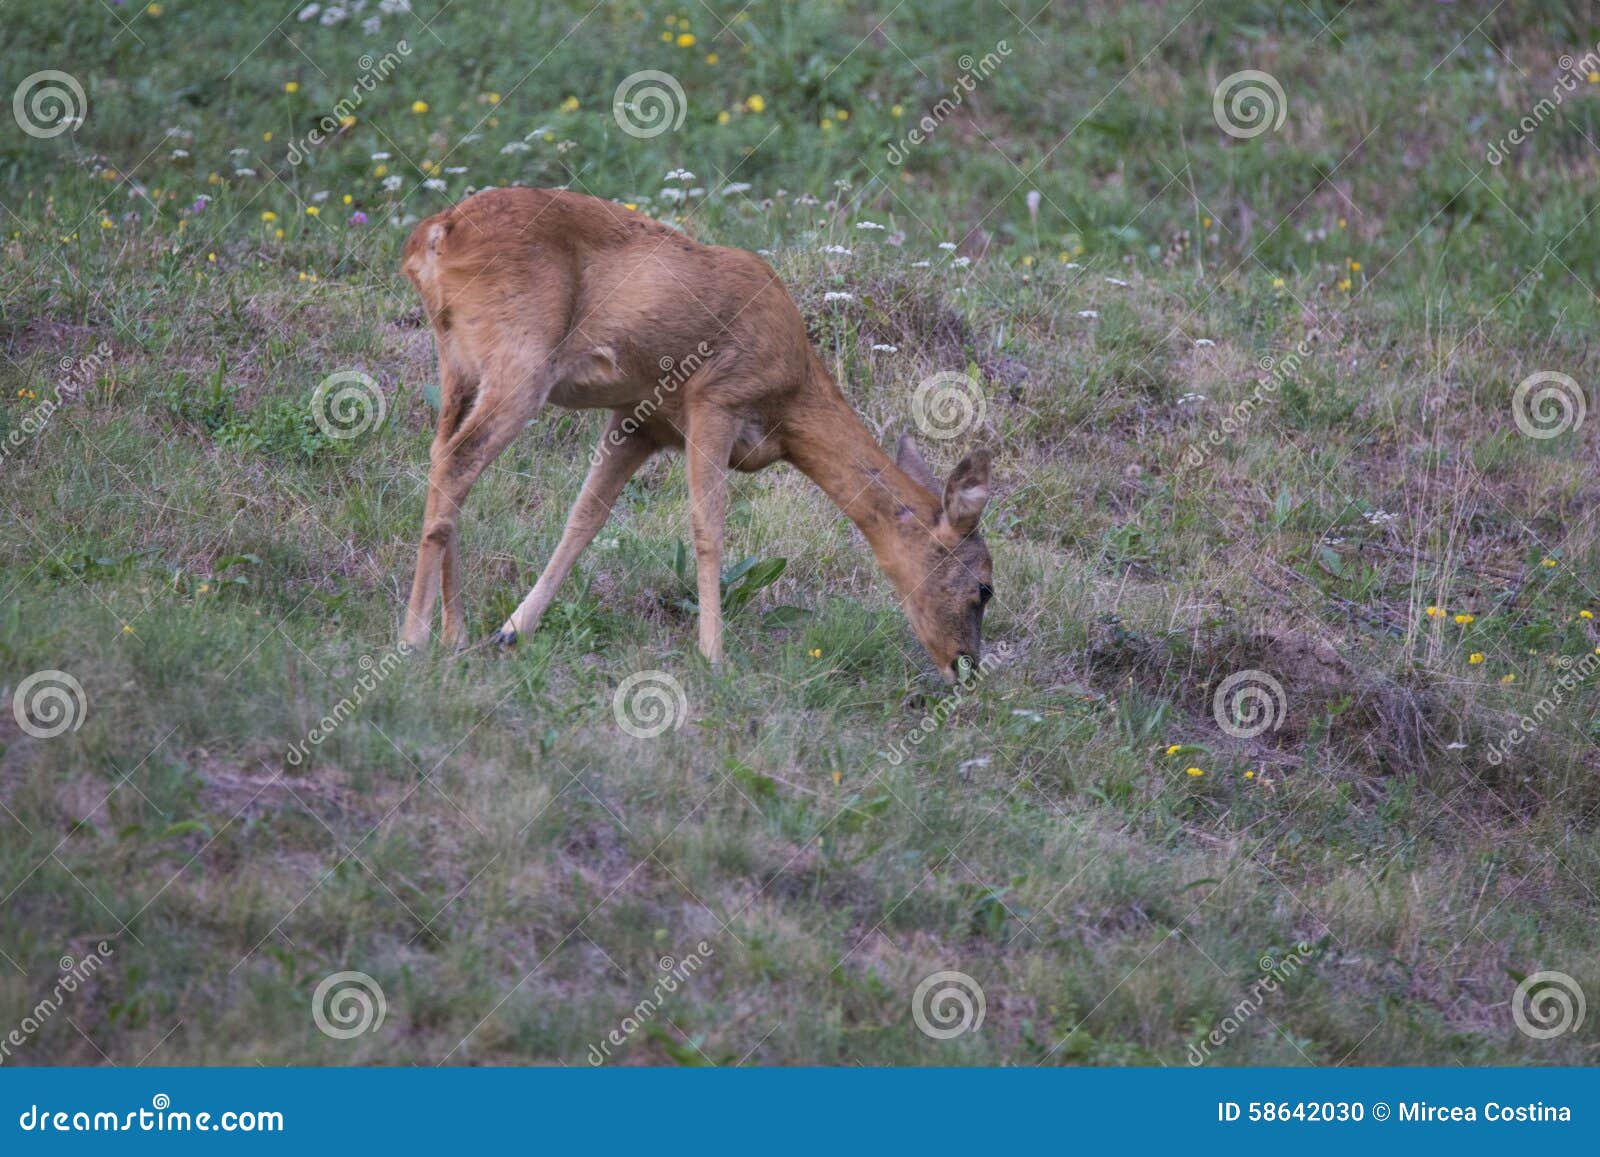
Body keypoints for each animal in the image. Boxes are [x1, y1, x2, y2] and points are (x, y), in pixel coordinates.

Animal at [398, 187, 993, 680]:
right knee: (458, 462)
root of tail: (436, 232)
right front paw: (713, 655)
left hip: (459, 365)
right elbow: (709, 528)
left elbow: (585, 517)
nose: (966, 669)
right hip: (519, 361)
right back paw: (414, 637)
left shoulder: (640, 420)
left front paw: (514, 629)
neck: (791, 399)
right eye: (984, 588)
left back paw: (455, 633)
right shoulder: (717, 398)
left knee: (443, 458)